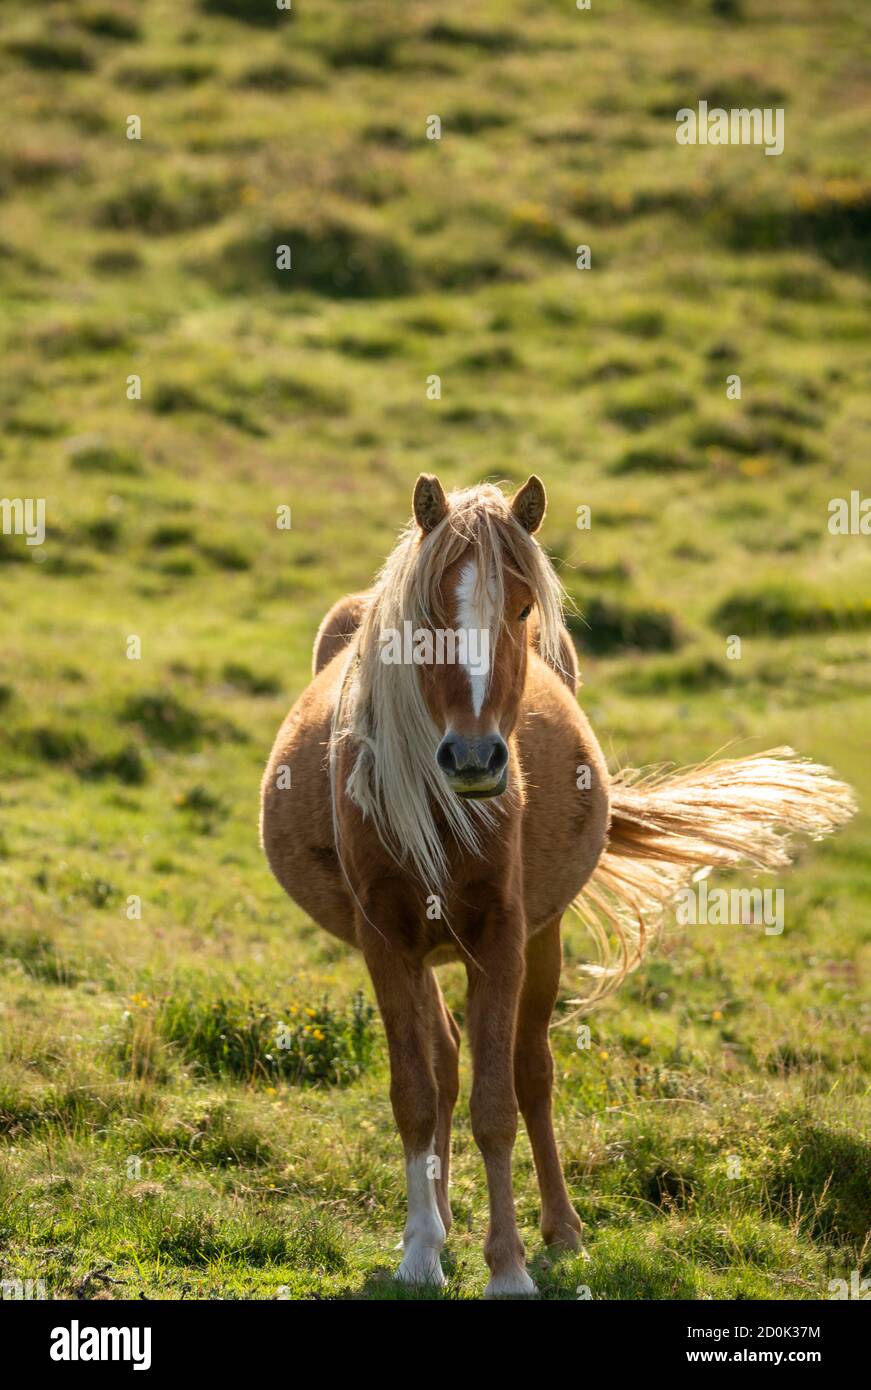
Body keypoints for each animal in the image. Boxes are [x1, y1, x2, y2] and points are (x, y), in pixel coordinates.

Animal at [260, 474, 855, 1297]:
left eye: (519, 608)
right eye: (430, 614)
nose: (473, 759)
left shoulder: (502, 936)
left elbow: (497, 1105)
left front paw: (508, 1266)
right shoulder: (388, 941)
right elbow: (415, 1095)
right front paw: (419, 1253)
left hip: (543, 939)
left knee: (529, 1070)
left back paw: (560, 1229)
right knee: (446, 1062)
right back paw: (442, 1221)